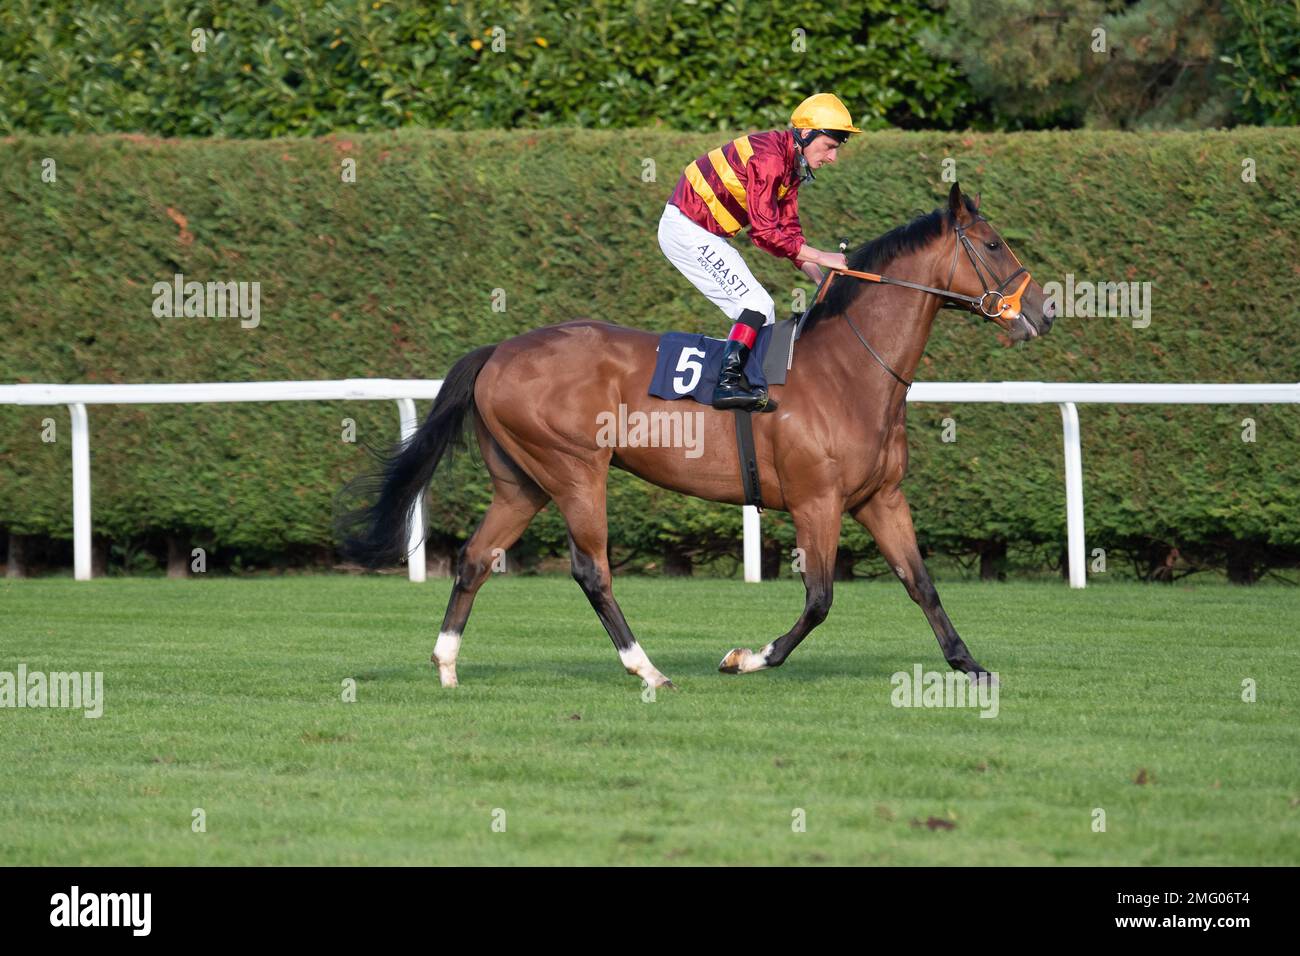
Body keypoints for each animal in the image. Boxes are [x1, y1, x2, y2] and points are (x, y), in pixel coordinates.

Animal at [337, 183, 1056, 689]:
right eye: (994, 244)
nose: (1043, 310)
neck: (851, 369)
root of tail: (498, 349)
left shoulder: (881, 498)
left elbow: (922, 583)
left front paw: (970, 666)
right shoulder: (816, 502)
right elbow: (820, 599)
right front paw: (746, 657)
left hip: (522, 483)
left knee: (475, 558)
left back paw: (447, 664)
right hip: (574, 470)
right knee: (591, 569)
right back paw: (646, 669)